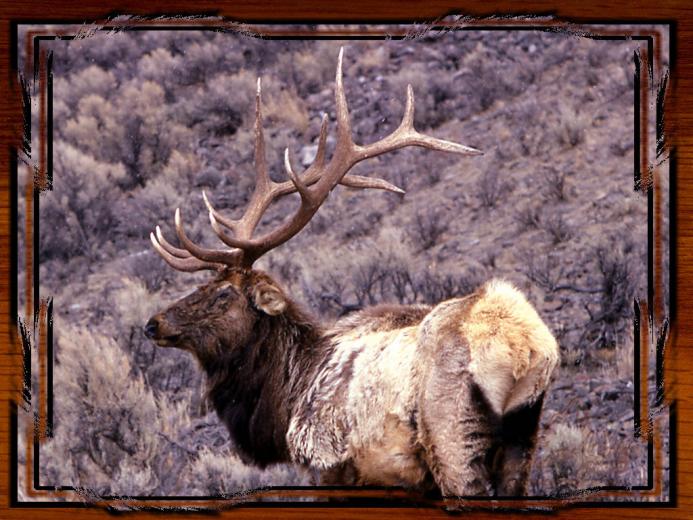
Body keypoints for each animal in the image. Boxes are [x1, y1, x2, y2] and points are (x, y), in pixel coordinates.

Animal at [144, 48, 560, 498]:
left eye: (224, 295)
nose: (153, 323)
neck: (286, 398)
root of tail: (522, 346)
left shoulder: (327, 463)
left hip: (452, 438)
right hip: (523, 438)